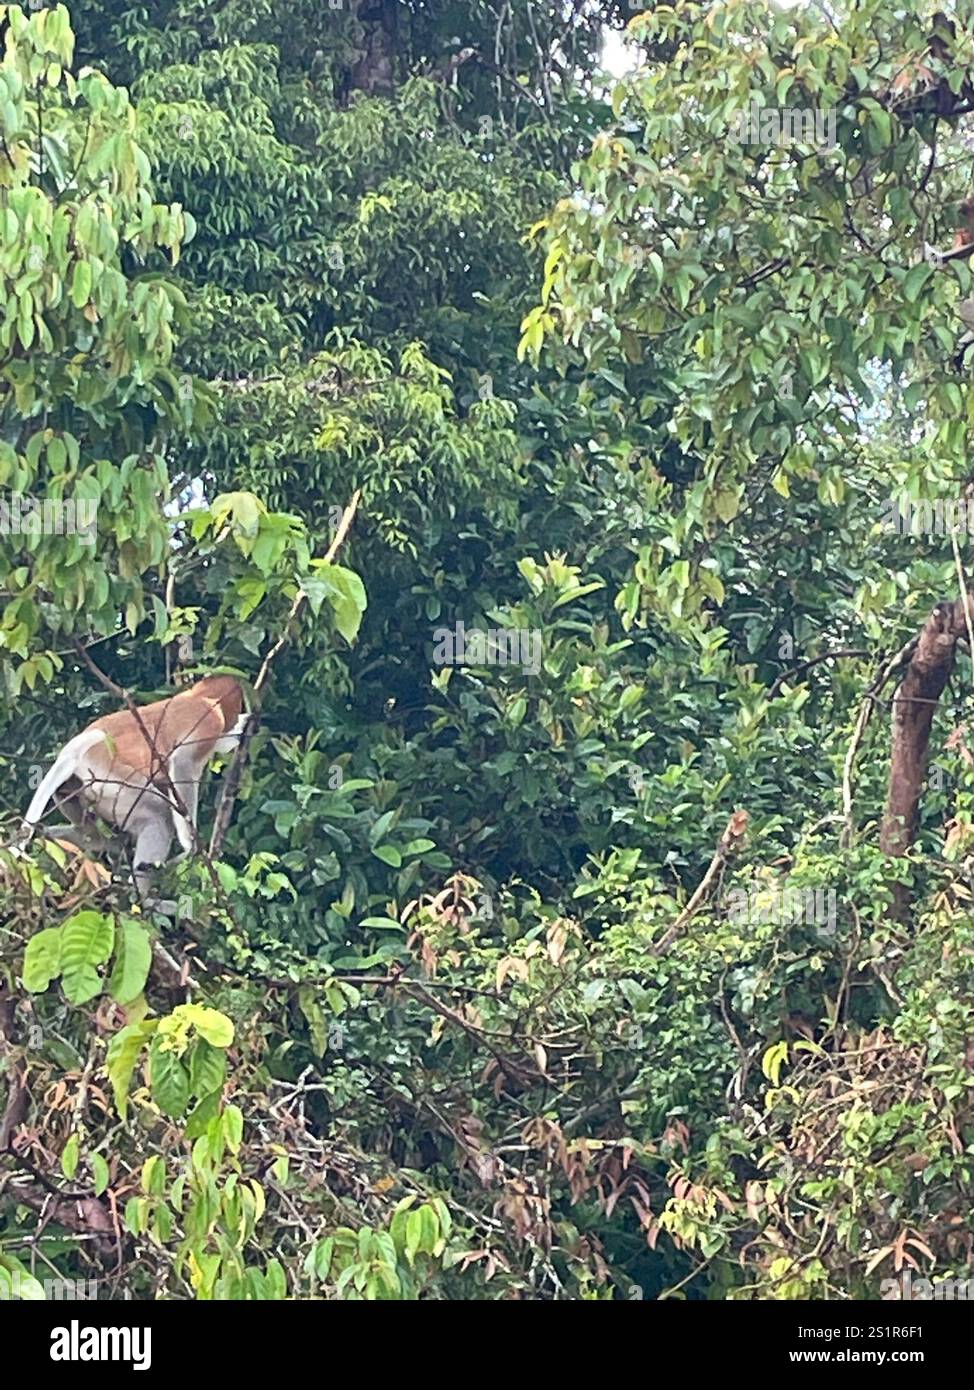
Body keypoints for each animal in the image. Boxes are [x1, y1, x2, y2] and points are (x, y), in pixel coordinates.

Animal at [18, 675, 247, 910]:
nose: (236, 722)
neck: (199, 697)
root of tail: (75, 750)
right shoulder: (209, 720)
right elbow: (183, 763)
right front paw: (191, 844)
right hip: (110, 776)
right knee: (158, 815)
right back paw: (144, 900)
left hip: (73, 789)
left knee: (90, 833)